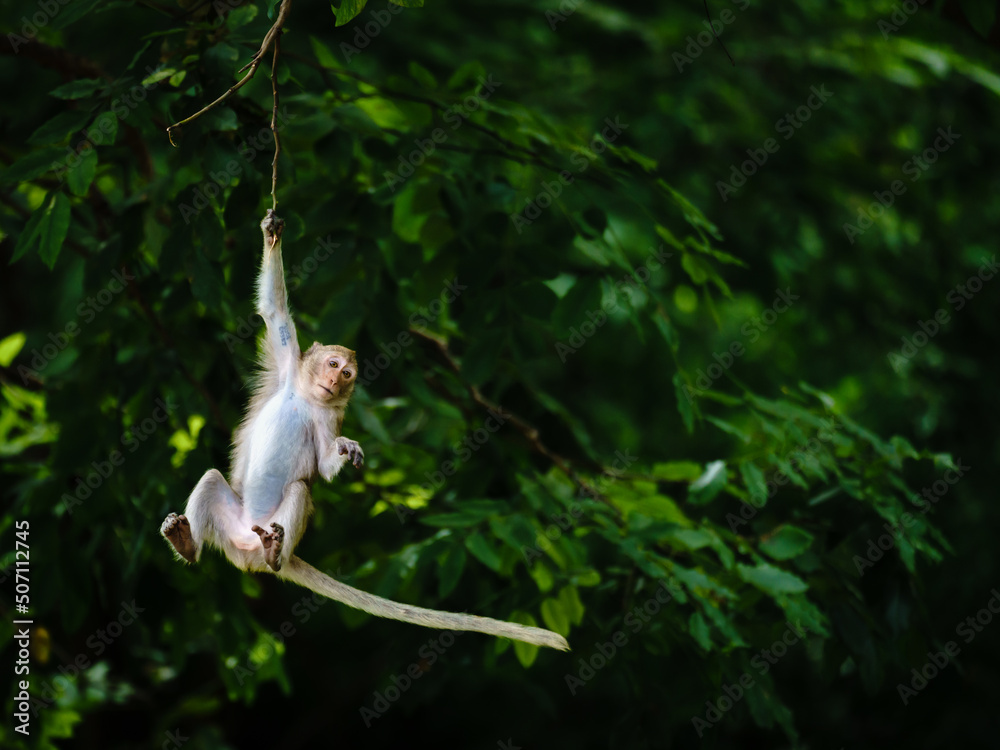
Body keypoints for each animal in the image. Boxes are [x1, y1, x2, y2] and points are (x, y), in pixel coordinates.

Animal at [160, 210, 569, 652]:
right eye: (333, 365)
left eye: (347, 375)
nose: (335, 381)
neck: (307, 397)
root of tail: (246, 551)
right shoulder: (287, 365)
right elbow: (274, 311)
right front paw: (272, 237)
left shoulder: (328, 418)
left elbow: (323, 467)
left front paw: (342, 449)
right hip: (231, 526)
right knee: (212, 479)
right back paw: (188, 543)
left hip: (268, 531)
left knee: (298, 491)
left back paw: (270, 553)